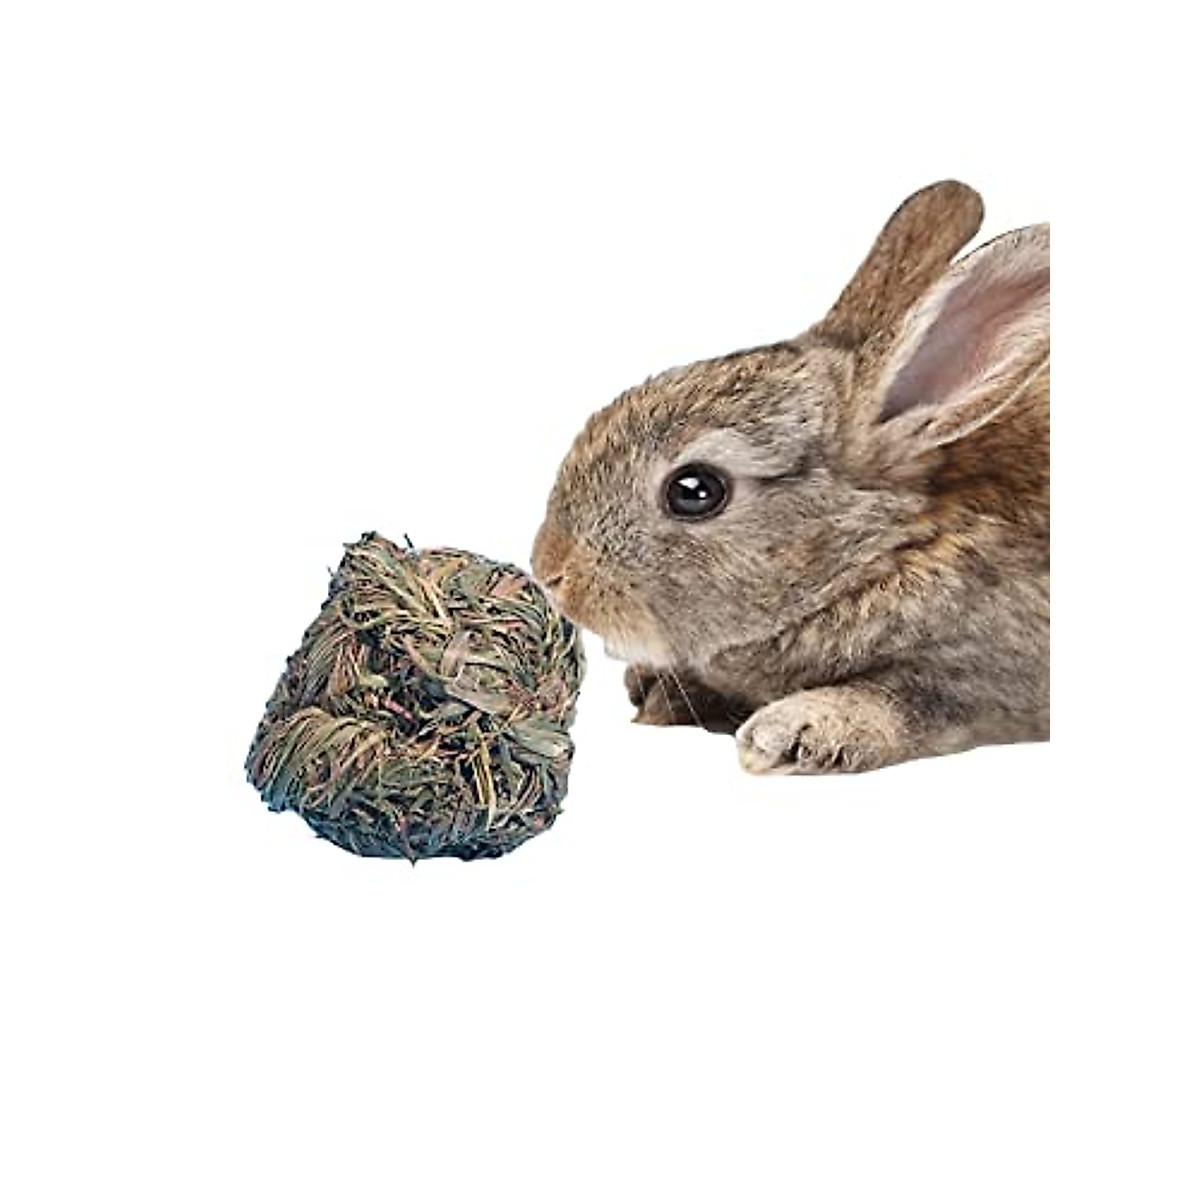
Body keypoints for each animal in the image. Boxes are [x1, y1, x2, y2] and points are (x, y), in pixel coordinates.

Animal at [531, 181, 1049, 774]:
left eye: (695, 491)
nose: (549, 568)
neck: (885, 550)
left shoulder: (990, 675)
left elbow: (910, 701)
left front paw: (793, 732)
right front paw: (656, 691)